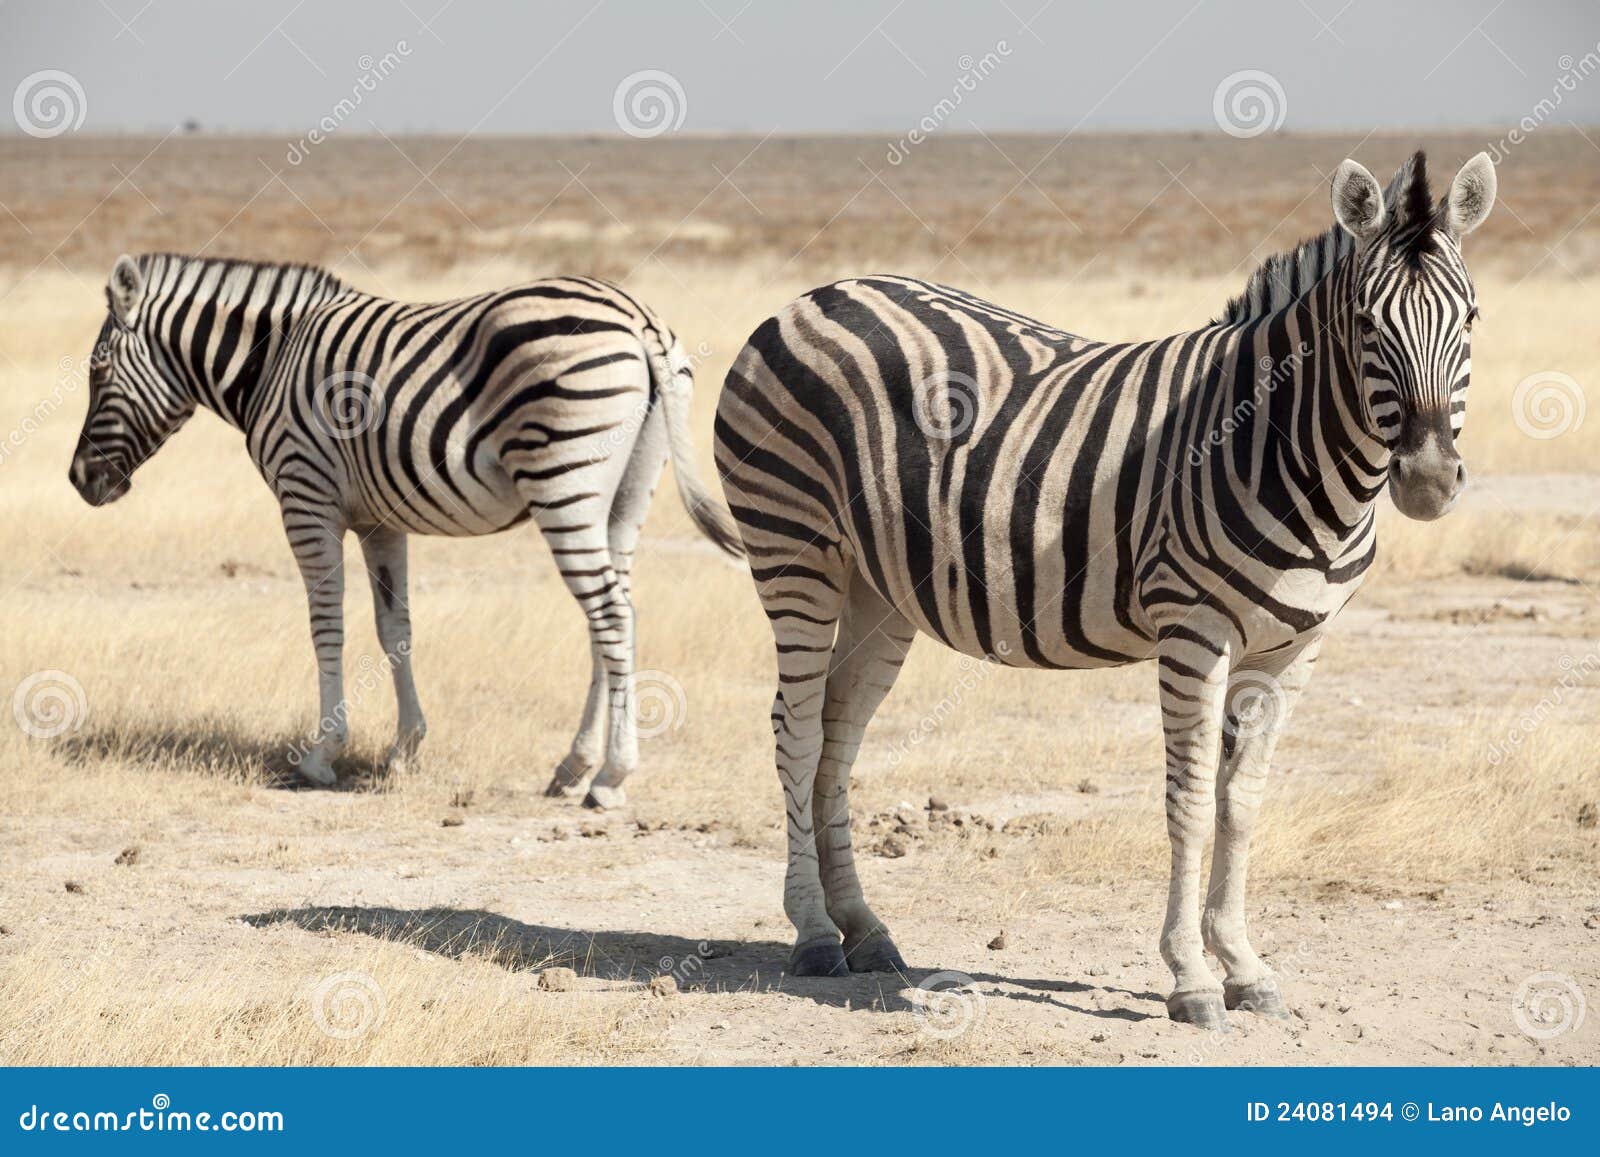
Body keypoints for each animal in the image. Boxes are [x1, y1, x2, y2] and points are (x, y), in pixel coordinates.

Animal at [68, 254, 742, 807]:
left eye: (97, 373)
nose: (78, 480)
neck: (270, 363)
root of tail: (640, 319)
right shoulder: (379, 520)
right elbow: (395, 628)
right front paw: (405, 749)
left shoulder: (306, 498)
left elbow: (327, 626)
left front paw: (323, 753)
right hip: (623, 499)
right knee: (611, 616)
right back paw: (574, 765)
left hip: (562, 478)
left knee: (611, 615)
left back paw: (610, 776)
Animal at [713, 151, 1495, 1026]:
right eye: (1365, 325)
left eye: (1471, 320)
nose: (1428, 482)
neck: (1283, 445)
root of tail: (810, 297)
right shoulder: (1194, 628)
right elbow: (1190, 800)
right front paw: (1191, 977)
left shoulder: (1295, 646)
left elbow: (1243, 802)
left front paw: (1244, 964)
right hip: (795, 550)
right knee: (796, 730)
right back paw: (815, 935)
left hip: (876, 587)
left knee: (838, 736)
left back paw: (865, 929)